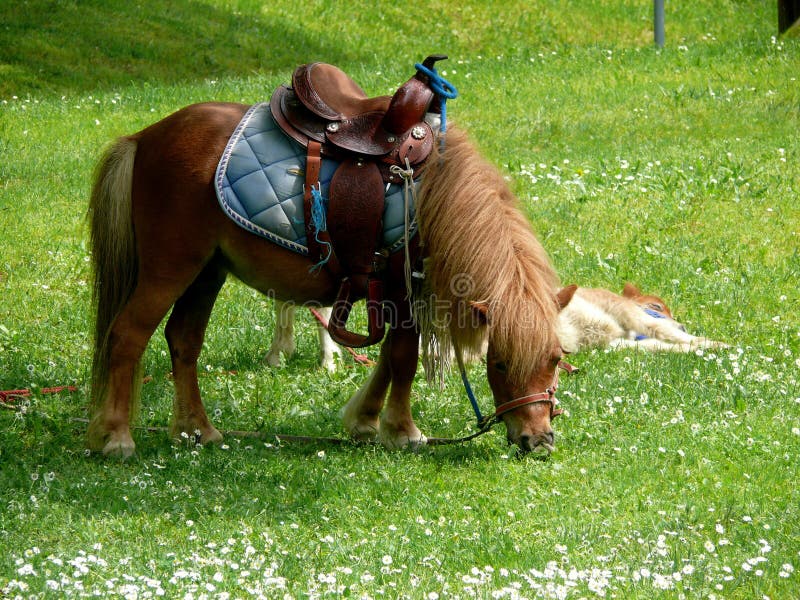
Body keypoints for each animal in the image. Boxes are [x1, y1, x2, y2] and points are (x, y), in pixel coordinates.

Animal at [87, 100, 575, 458]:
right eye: (500, 364)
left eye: (555, 359)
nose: (538, 441)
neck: (435, 195)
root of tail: (144, 137)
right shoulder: (400, 291)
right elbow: (403, 358)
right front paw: (402, 430)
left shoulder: (396, 295)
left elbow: (389, 358)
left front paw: (366, 421)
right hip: (170, 268)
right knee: (128, 335)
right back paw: (116, 437)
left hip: (207, 272)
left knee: (184, 341)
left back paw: (196, 430)